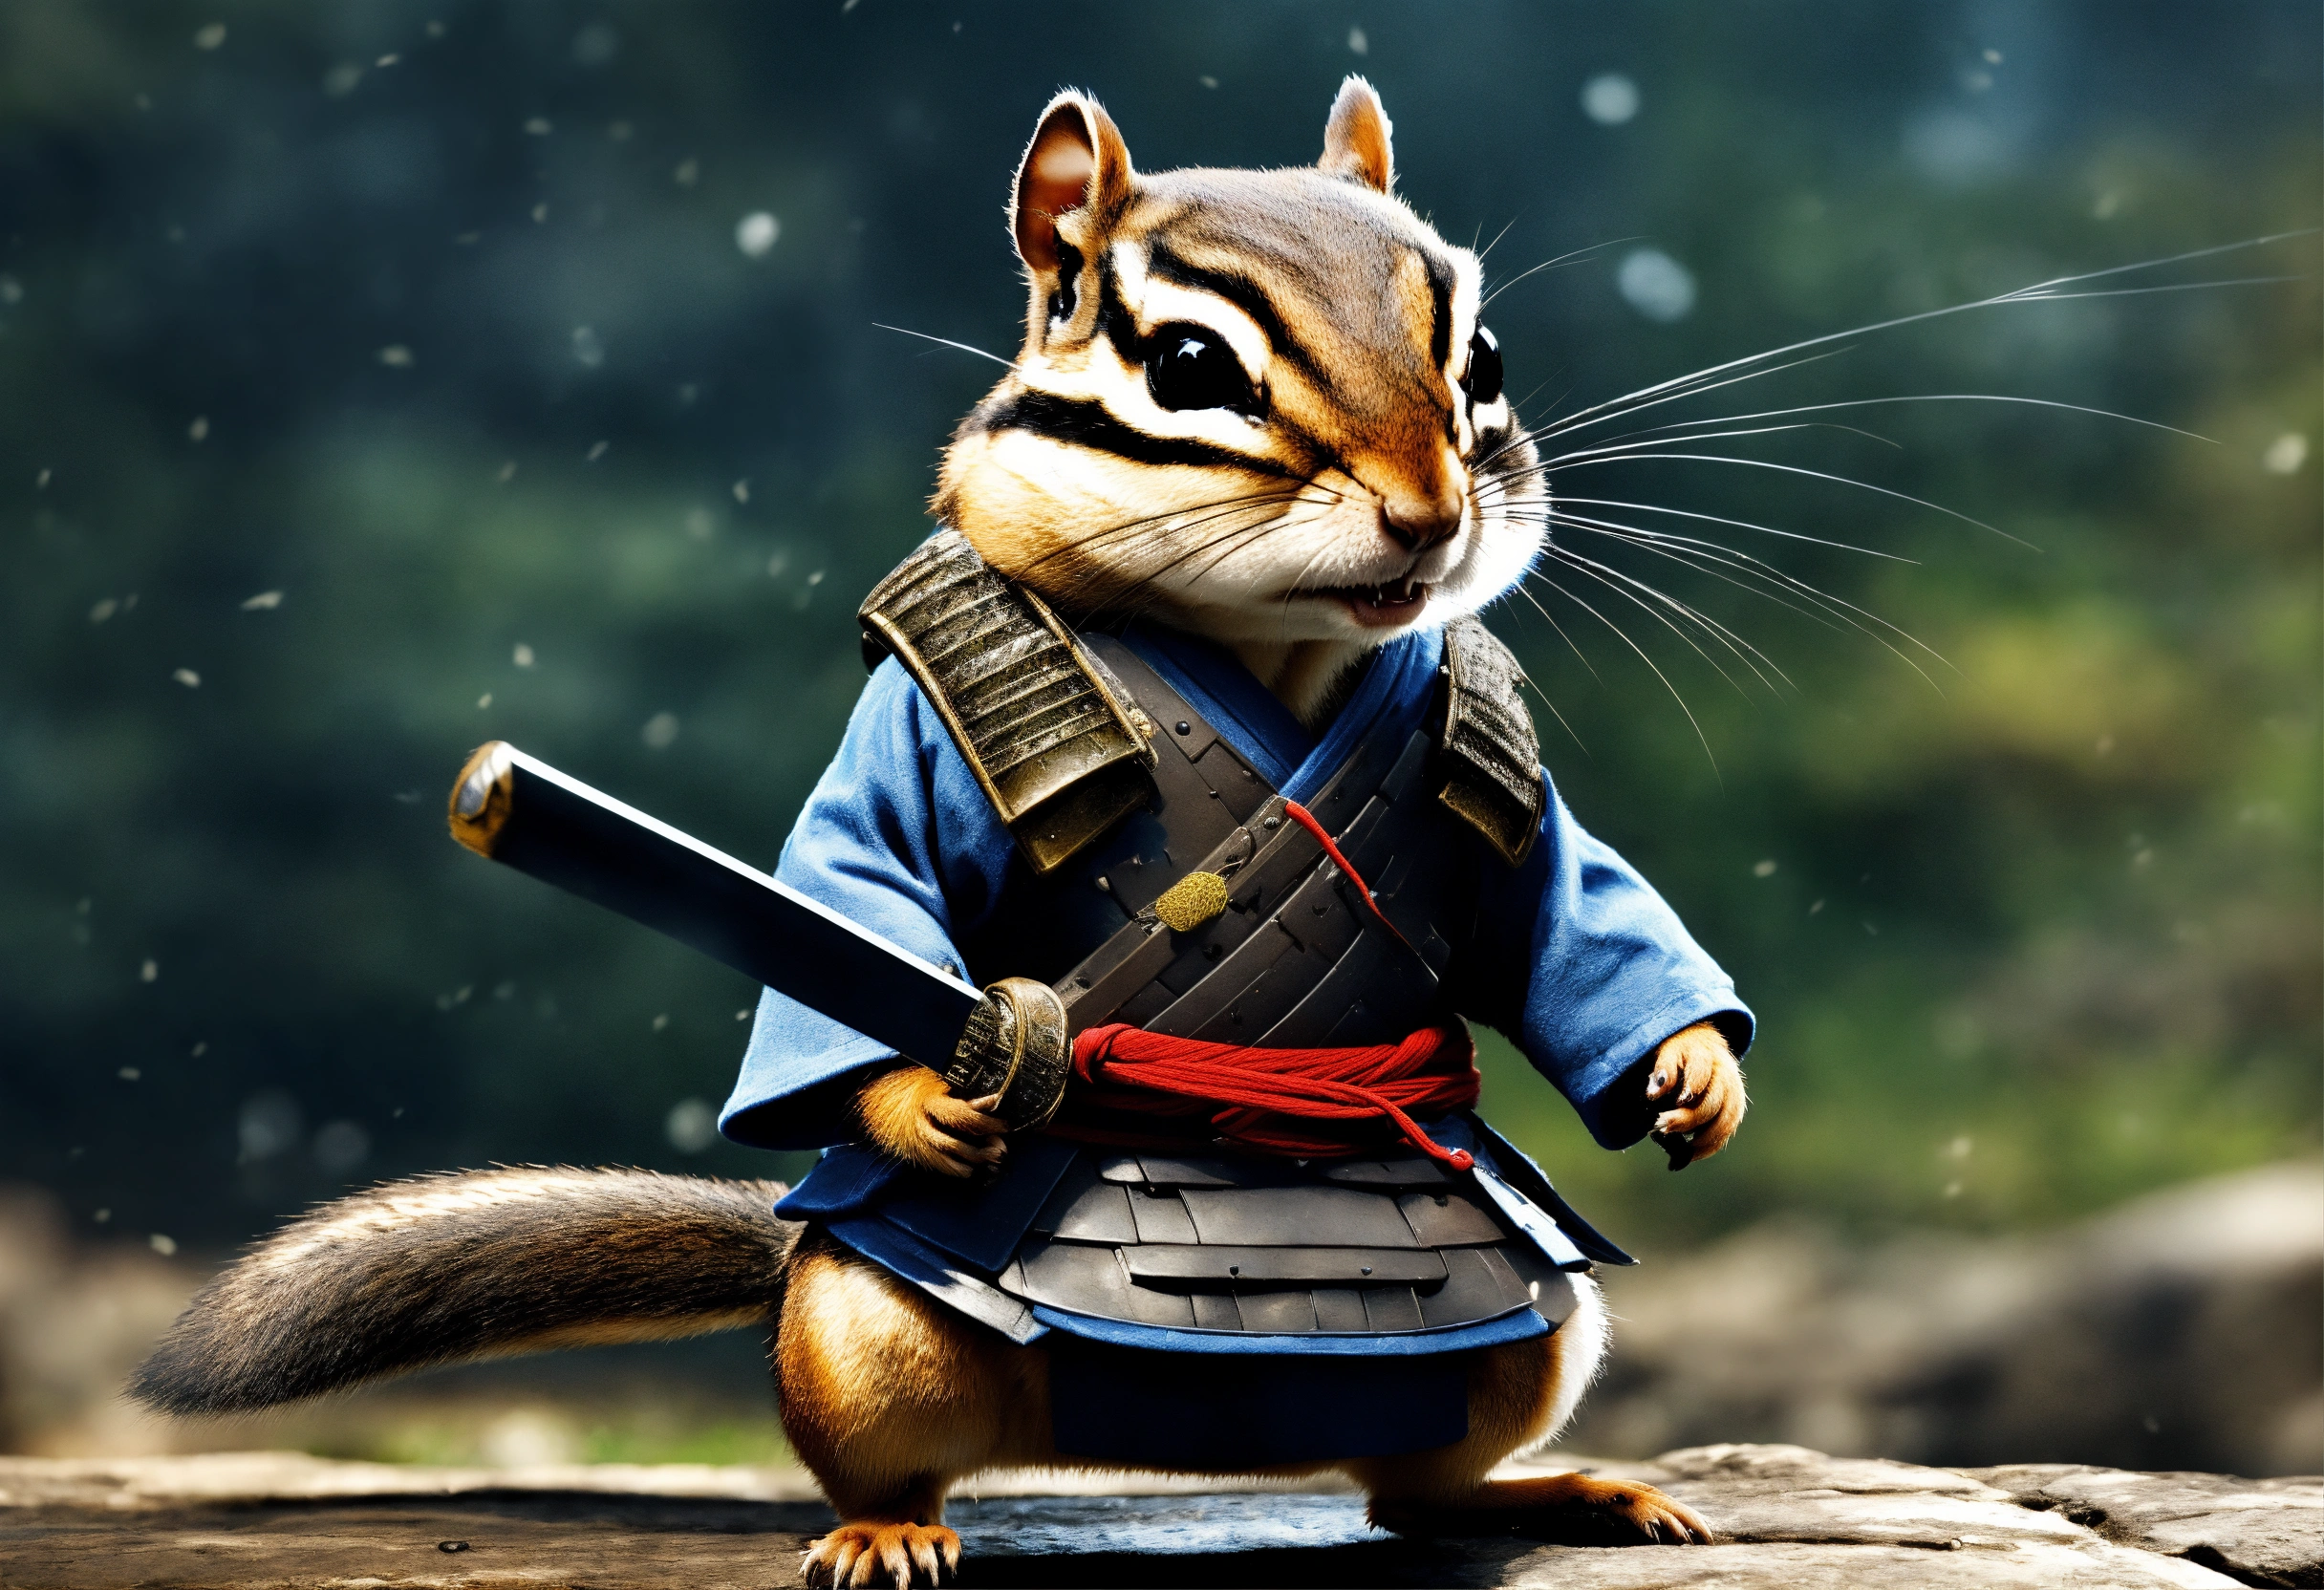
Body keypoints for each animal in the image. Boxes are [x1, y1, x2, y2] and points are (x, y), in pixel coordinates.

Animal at [133, 80, 1748, 1589]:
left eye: (1483, 362)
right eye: (1190, 367)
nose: (1429, 514)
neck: (1268, 644)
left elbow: (1568, 910)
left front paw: (1694, 1070)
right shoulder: (896, 757)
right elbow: (864, 880)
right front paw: (925, 1094)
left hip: (1525, 1324)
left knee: (1413, 1483)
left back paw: (1561, 1491)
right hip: (863, 1321)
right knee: (893, 1439)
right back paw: (888, 1530)